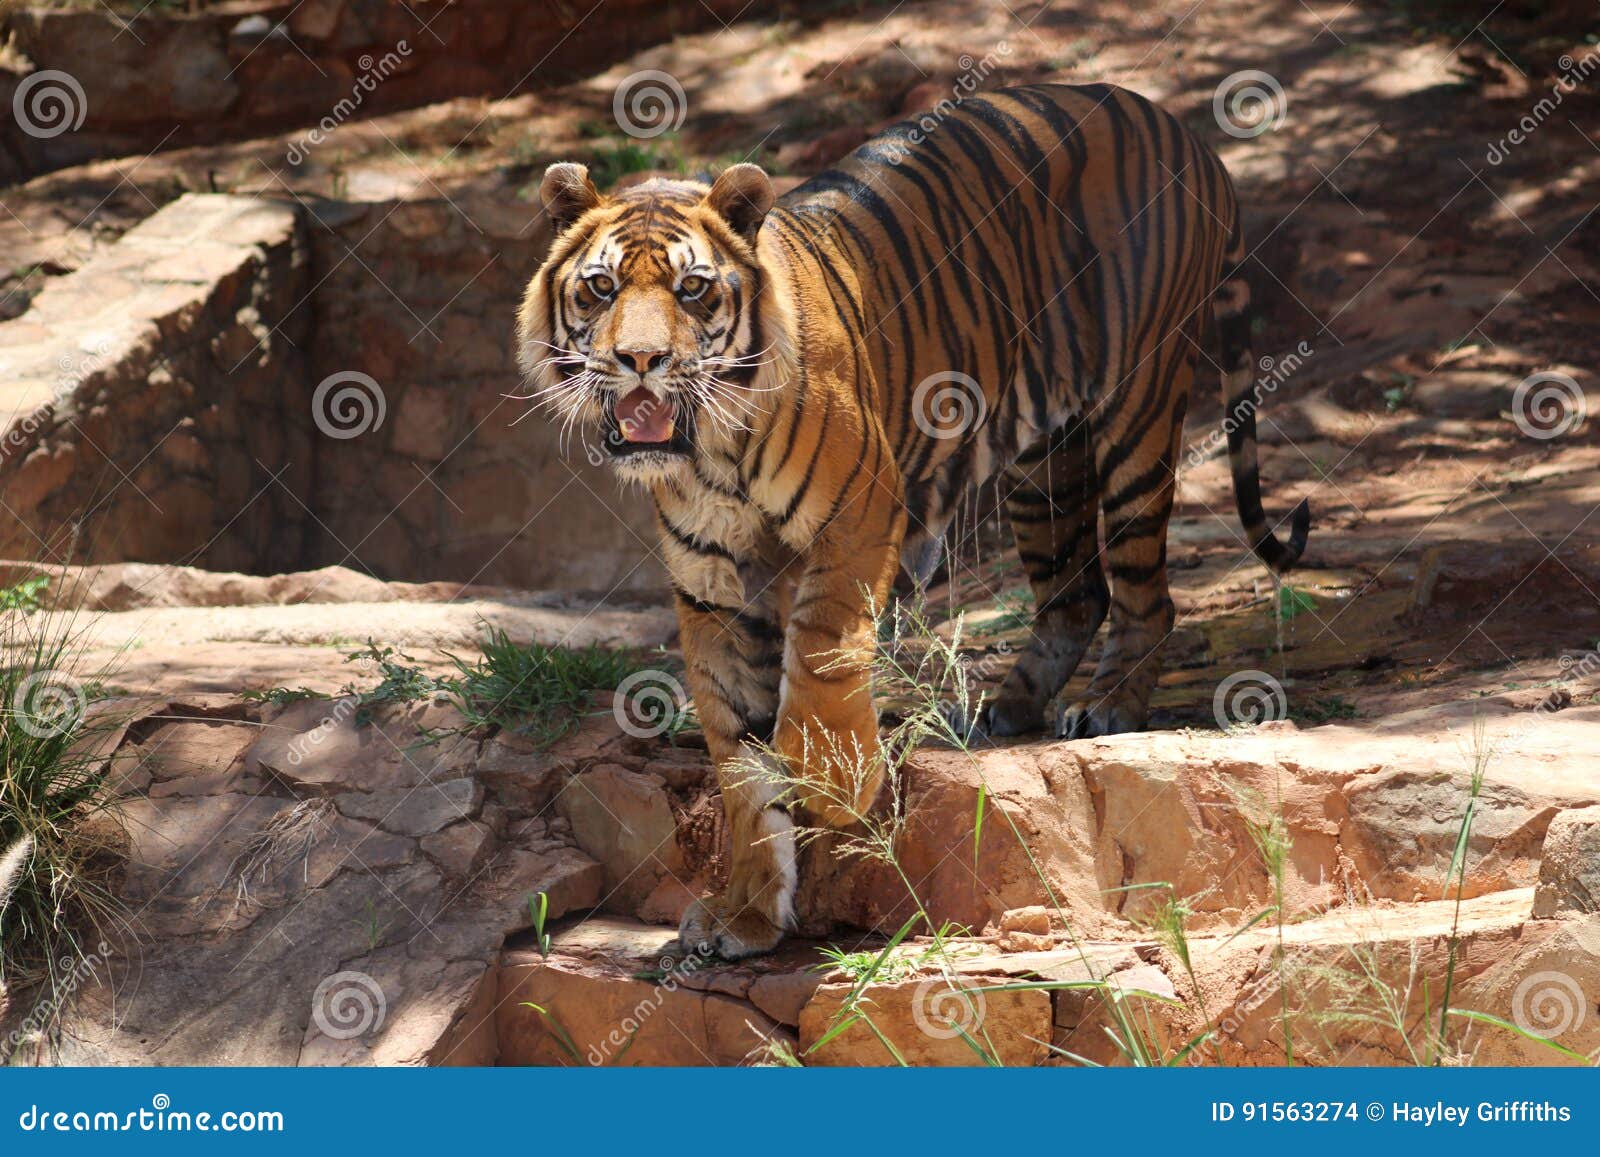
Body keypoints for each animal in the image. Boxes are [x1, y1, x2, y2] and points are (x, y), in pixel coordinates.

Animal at [516, 82, 1309, 959]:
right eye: (600, 289)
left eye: (693, 290)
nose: (641, 361)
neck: (708, 450)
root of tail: (1179, 125)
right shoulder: (711, 585)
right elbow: (739, 761)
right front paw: (747, 910)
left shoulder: (858, 510)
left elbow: (820, 653)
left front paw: (833, 779)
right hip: (1043, 458)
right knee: (1077, 593)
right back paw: (1010, 707)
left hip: (1138, 407)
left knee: (1146, 594)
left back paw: (1109, 707)